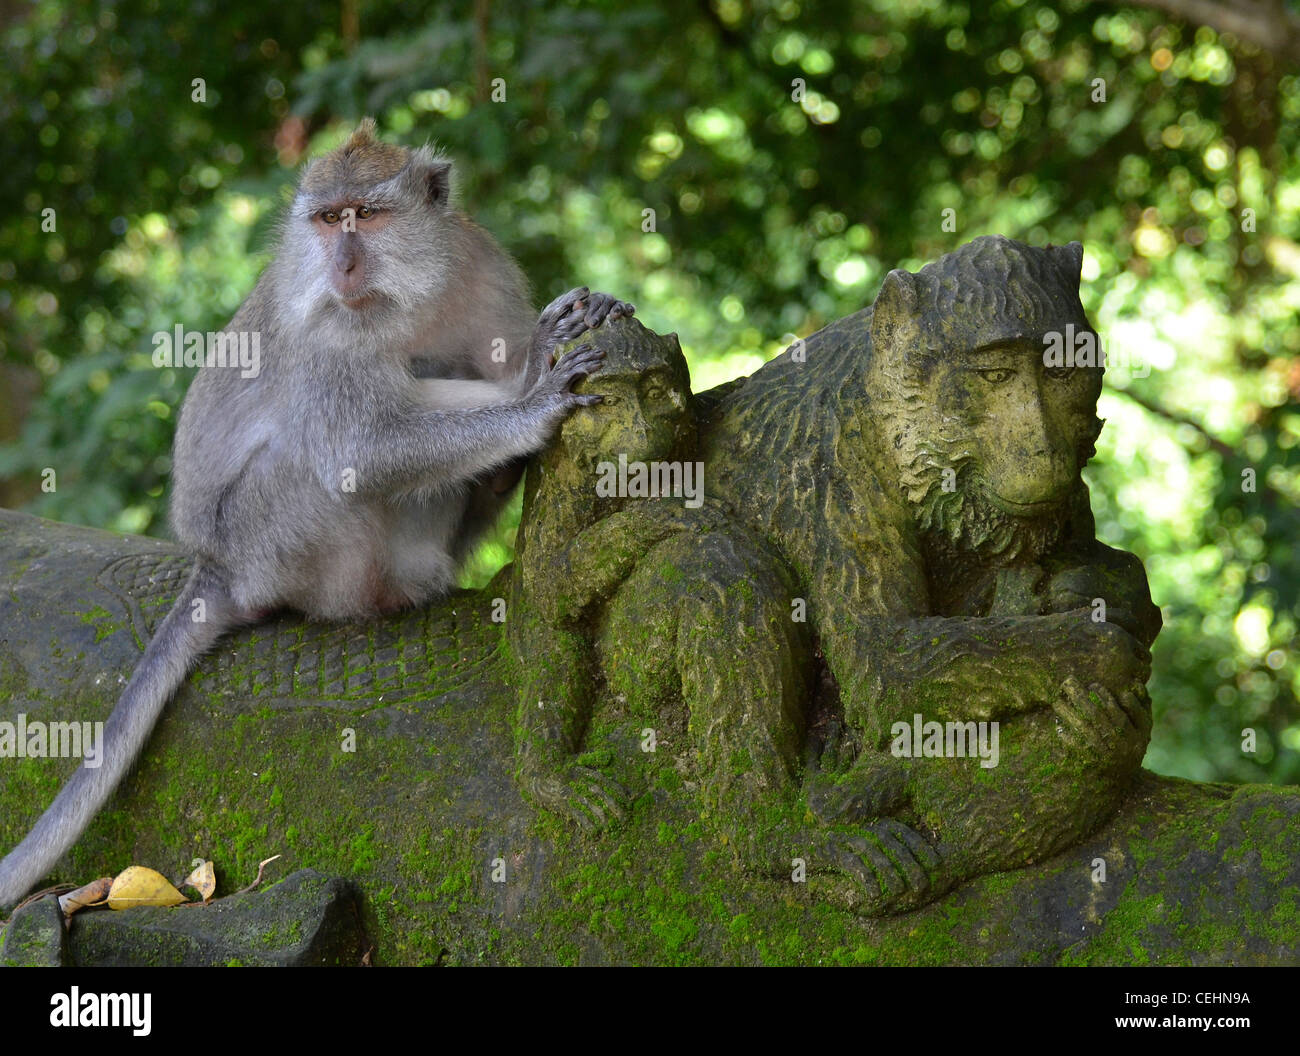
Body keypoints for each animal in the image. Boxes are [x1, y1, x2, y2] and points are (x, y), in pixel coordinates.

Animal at [0, 119, 634, 908]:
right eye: (330, 220)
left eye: (368, 215)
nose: (345, 262)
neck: (408, 296)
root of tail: (216, 568)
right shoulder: (332, 328)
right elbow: (359, 446)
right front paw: (530, 401)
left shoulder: (482, 266)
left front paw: (554, 341)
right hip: (275, 542)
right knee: (318, 459)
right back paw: (399, 590)